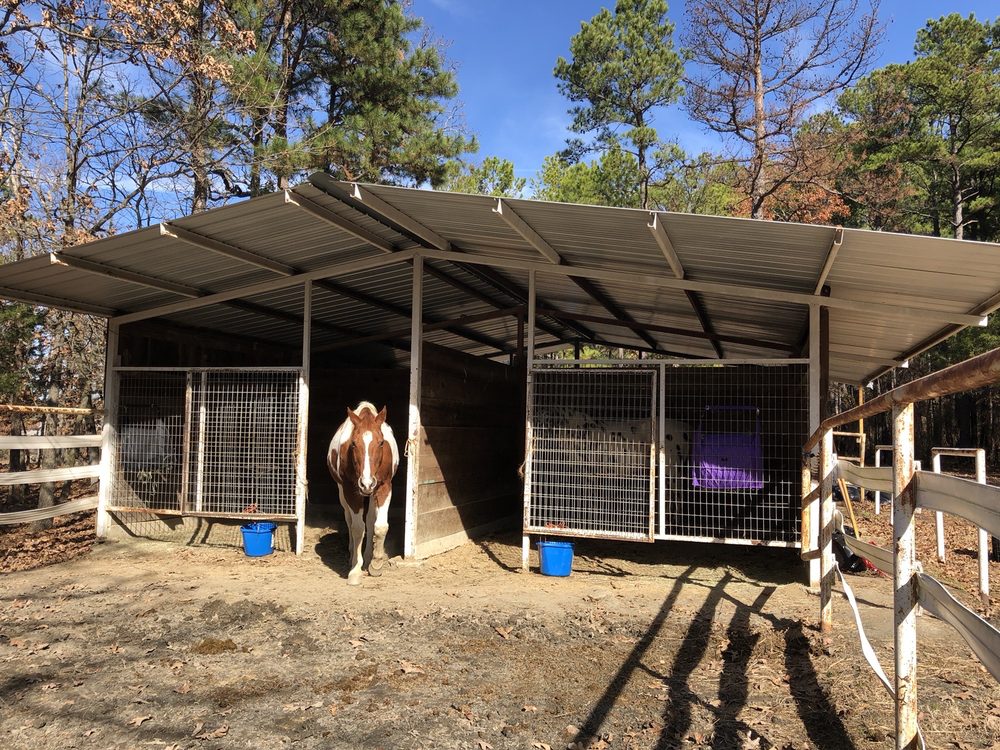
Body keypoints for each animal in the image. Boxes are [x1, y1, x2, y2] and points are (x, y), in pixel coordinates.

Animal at [326, 402, 399, 585]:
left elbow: (380, 526)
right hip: (343, 492)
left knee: (370, 520)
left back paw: (367, 559)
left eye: (381, 443)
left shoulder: (384, 487)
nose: (366, 483)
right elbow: (358, 528)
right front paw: (355, 571)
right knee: (349, 520)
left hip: (372, 493)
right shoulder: (350, 490)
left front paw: (376, 565)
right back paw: (353, 555)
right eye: (353, 443)